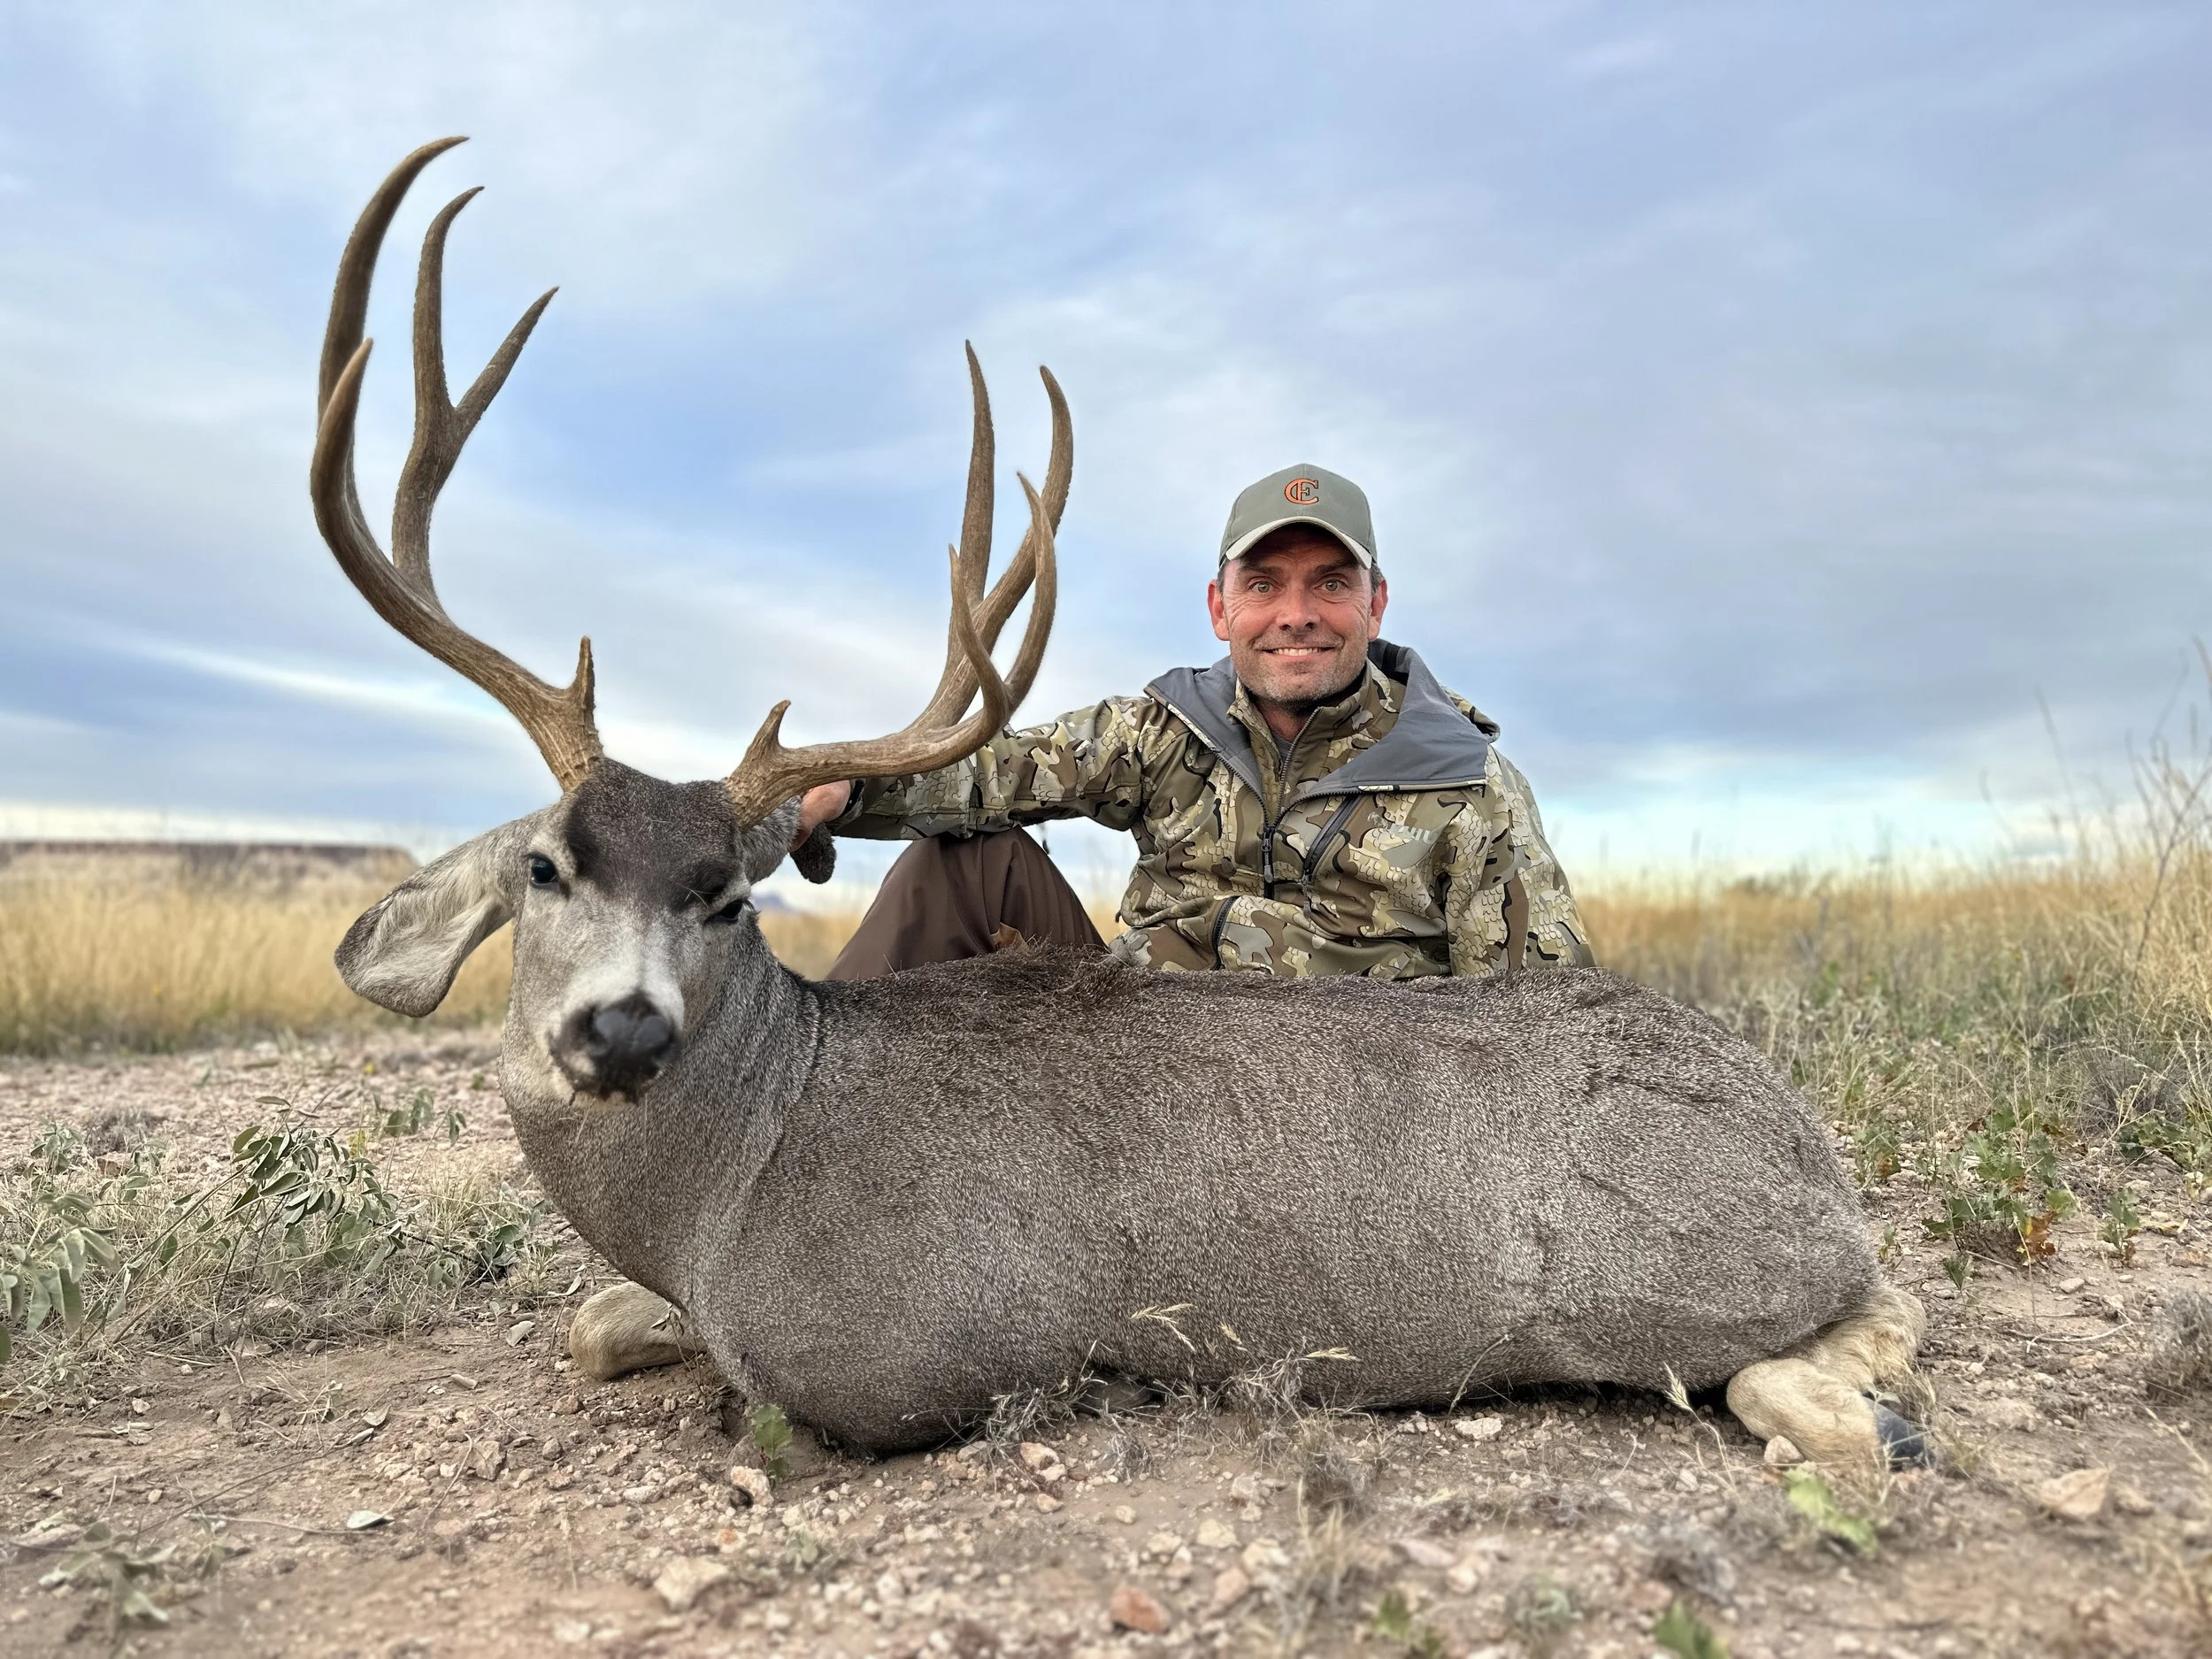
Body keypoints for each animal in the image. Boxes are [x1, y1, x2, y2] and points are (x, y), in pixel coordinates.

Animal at [314, 139, 1927, 1468]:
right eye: (545, 865)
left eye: (729, 896)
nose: (623, 1030)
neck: (735, 1175)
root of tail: (1795, 1131)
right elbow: (595, 1320)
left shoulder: (920, 1358)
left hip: (1682, 1275)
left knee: (1855, 1310)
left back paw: (1857, 1414)